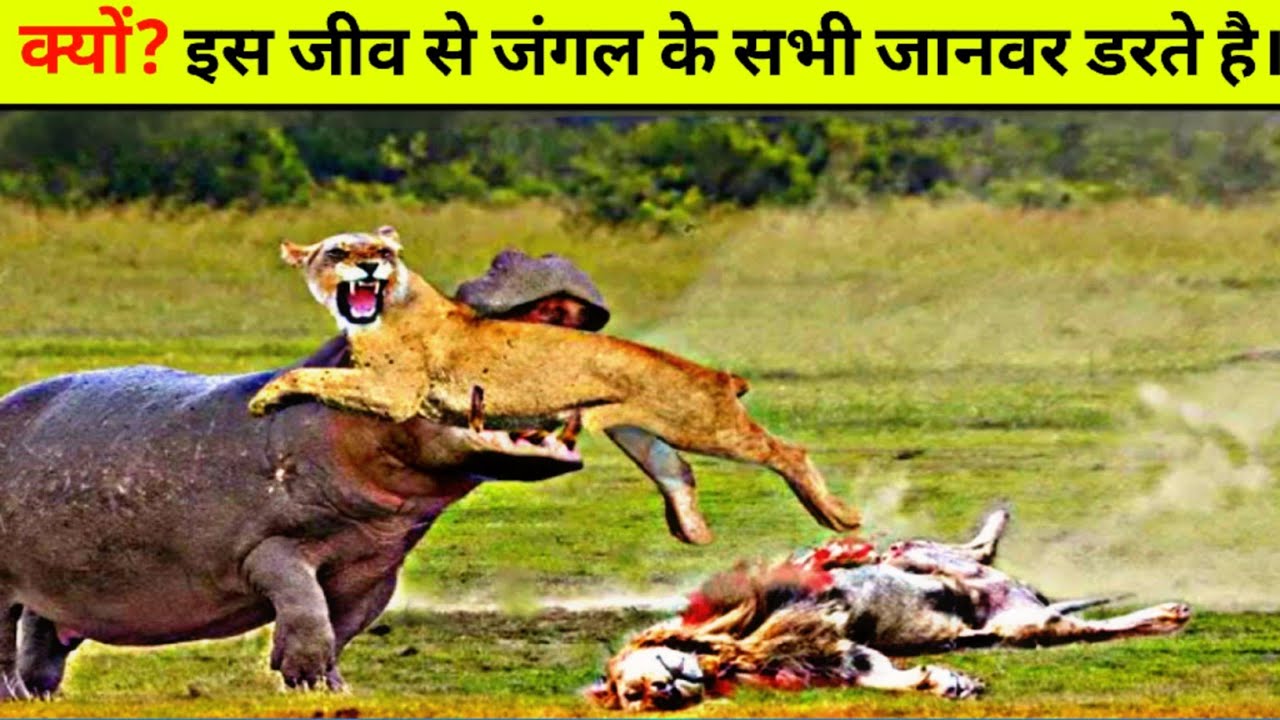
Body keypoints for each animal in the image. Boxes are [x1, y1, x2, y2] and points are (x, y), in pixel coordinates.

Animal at [0, 336, 584, 699]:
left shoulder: (374, 570)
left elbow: (339, 625)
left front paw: (333, 688)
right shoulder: (272, 546)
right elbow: (306, 607)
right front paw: (303, 679)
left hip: (55, 588)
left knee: (41, 644)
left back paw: (42, 696)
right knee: (6, 646)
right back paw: (18, 697)